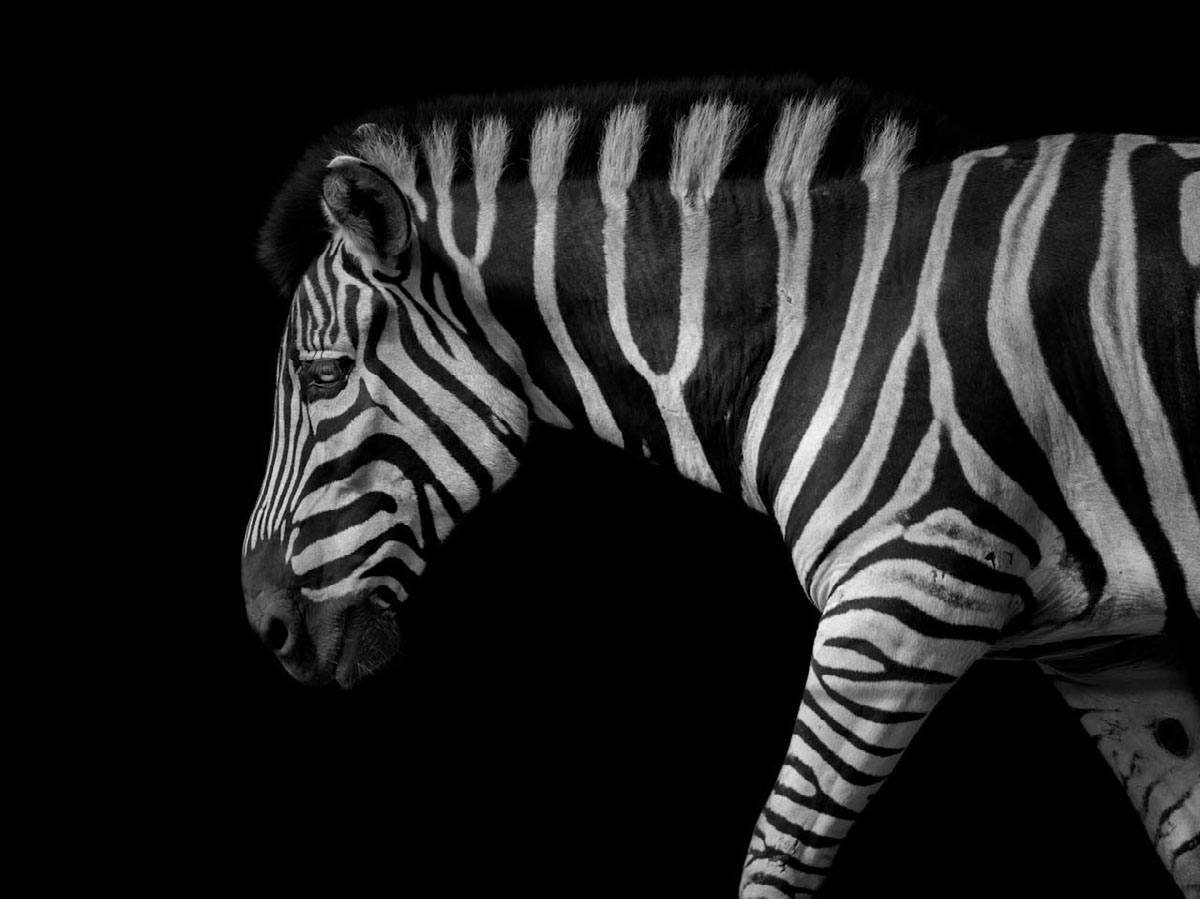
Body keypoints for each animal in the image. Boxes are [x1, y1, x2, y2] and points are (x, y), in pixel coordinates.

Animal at [240, 75, 1200, 896]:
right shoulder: (1113, 655)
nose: (268, 627)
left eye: (323, 377)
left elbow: (774, 857)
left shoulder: (901, 601)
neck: (817, 319)